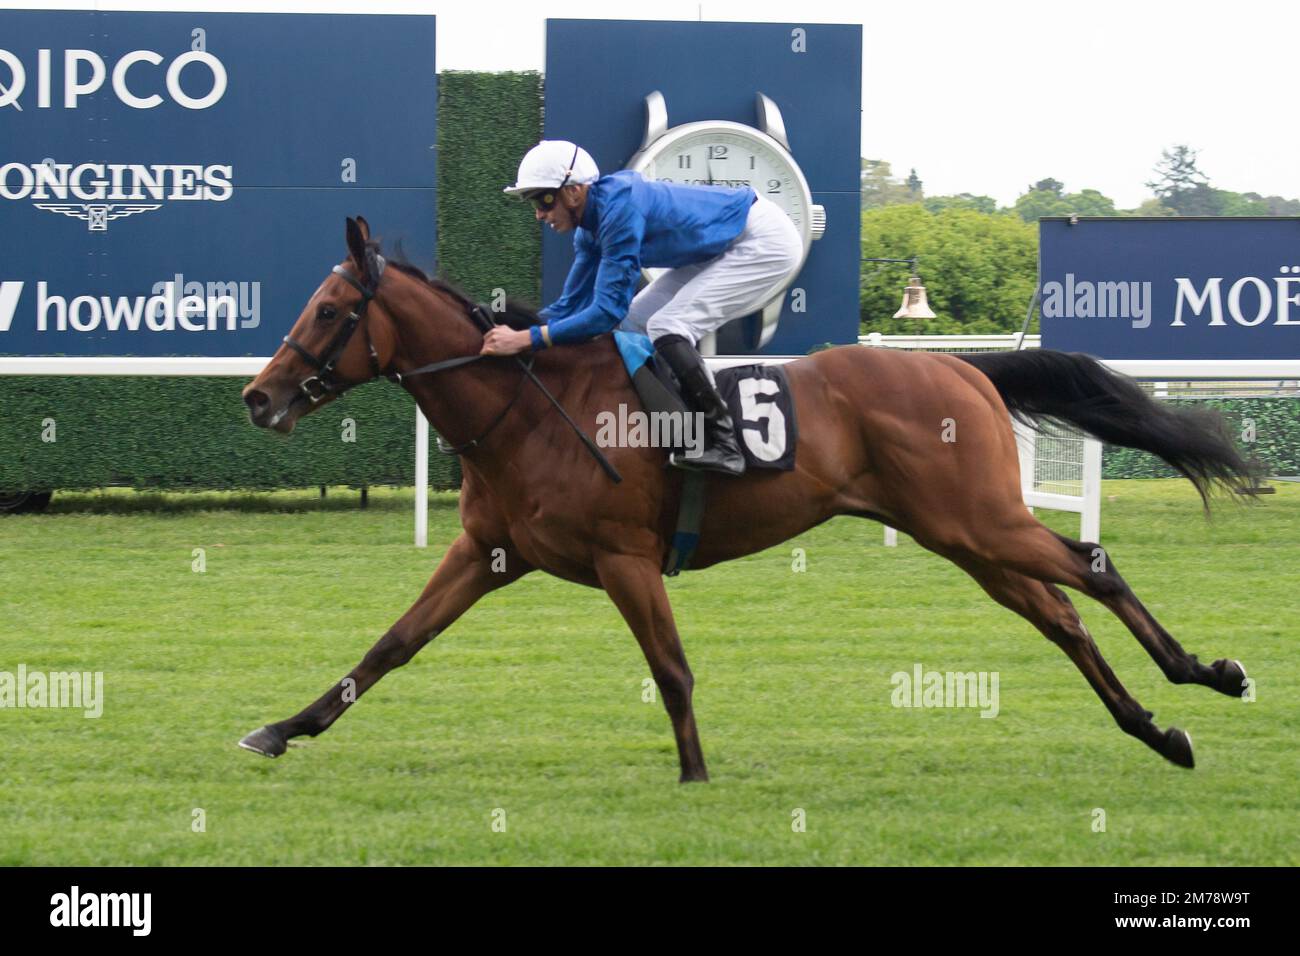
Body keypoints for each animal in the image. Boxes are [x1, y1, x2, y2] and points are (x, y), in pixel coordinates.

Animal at [238, 216, 1254, 782]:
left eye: (329, 310)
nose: (257, 396)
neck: (528, 408)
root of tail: (963, 368)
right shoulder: (490, 555)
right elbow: (390, 645)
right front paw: (281, 729)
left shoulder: (624, 557)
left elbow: (672, 670)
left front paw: (693, 776)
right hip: (966, 538)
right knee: (1060, 615)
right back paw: (1156, 731)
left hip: (979, 520)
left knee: (1092, 565)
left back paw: (1207, 673)